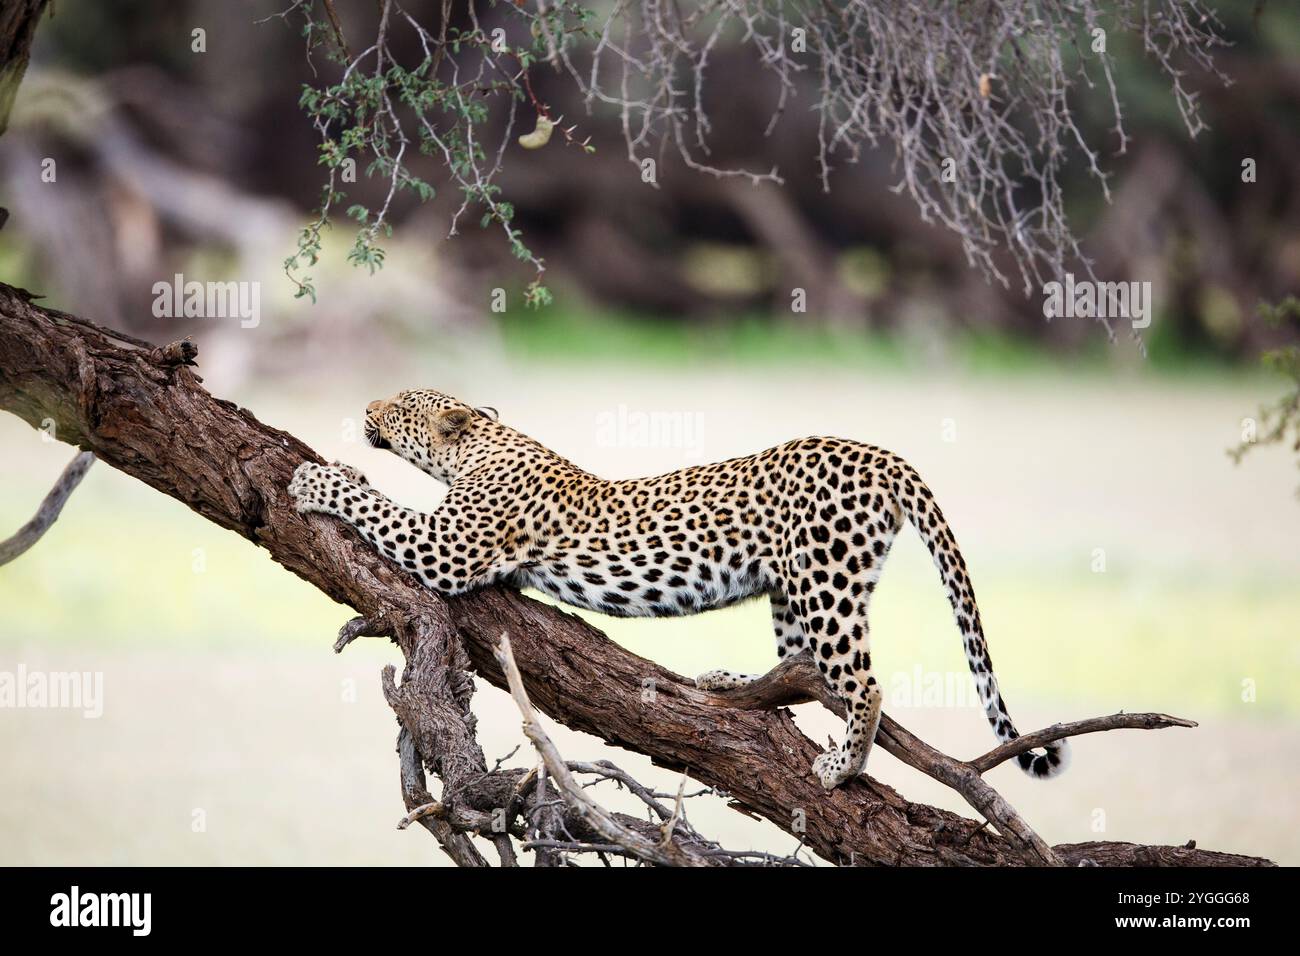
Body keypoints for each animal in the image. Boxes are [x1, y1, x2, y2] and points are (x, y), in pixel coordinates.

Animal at [287, 388, 1069, 789]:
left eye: (399, 405)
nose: (367, 405)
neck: (484, 442)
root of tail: (881, 453)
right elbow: (378, 495)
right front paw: (340, 471)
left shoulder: (449, 548)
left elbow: (382, 510)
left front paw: (312, 481)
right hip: (791, 587)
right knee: (802, 669)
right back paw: (728, 683)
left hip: (825, 579)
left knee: (864, 683)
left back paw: (841, 766)